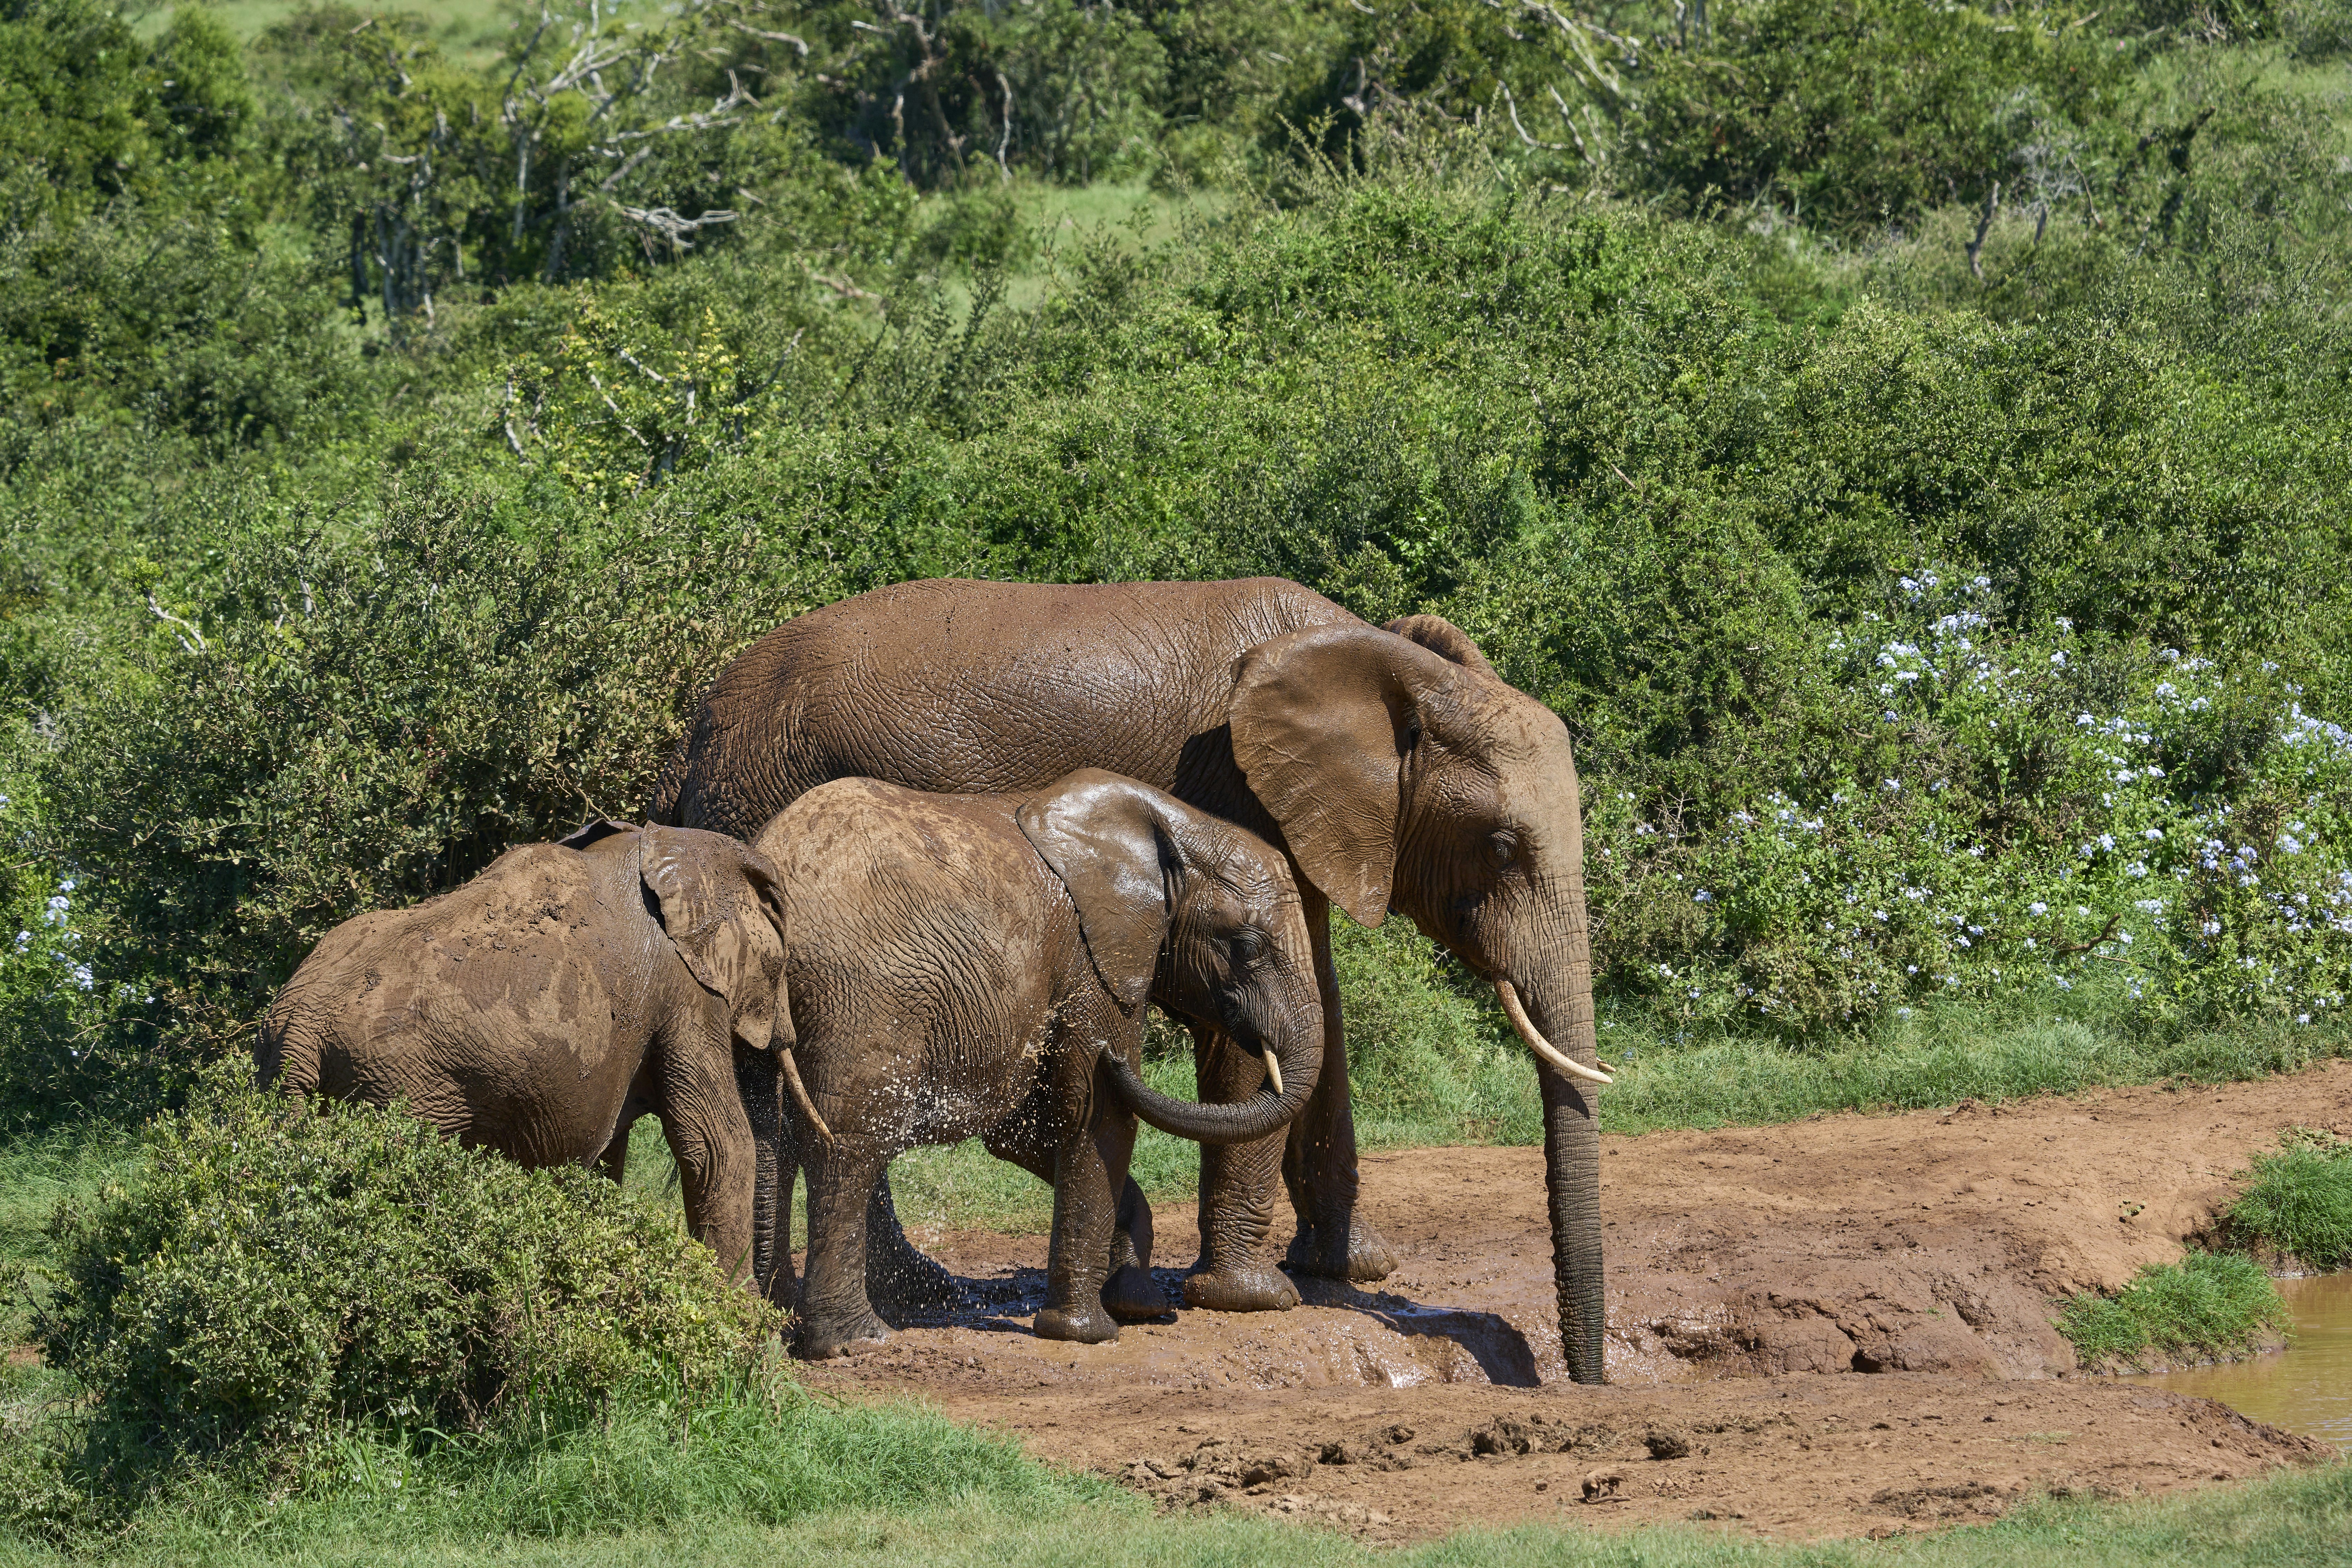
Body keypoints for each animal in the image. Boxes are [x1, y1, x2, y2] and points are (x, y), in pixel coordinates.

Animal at [255, 820, 794, 1293]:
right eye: (782, 960)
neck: (672, 843)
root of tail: (301, 1023)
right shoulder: (687, 994)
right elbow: (717, 1147)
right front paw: (741, 1322)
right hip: (400, 1089)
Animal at [757, 769, 1325, 1357]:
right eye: (1249, 947)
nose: (1113, 1056)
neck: (1176, 825)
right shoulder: (1093, 964)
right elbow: (1097, 1114)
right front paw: (1090, 1333)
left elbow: (1030, 1129)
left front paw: (1138, 1304)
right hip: (864, 998)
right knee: (849, 1146)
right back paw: (857, 1342)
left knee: (772, 1139)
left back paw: (772, 1319)